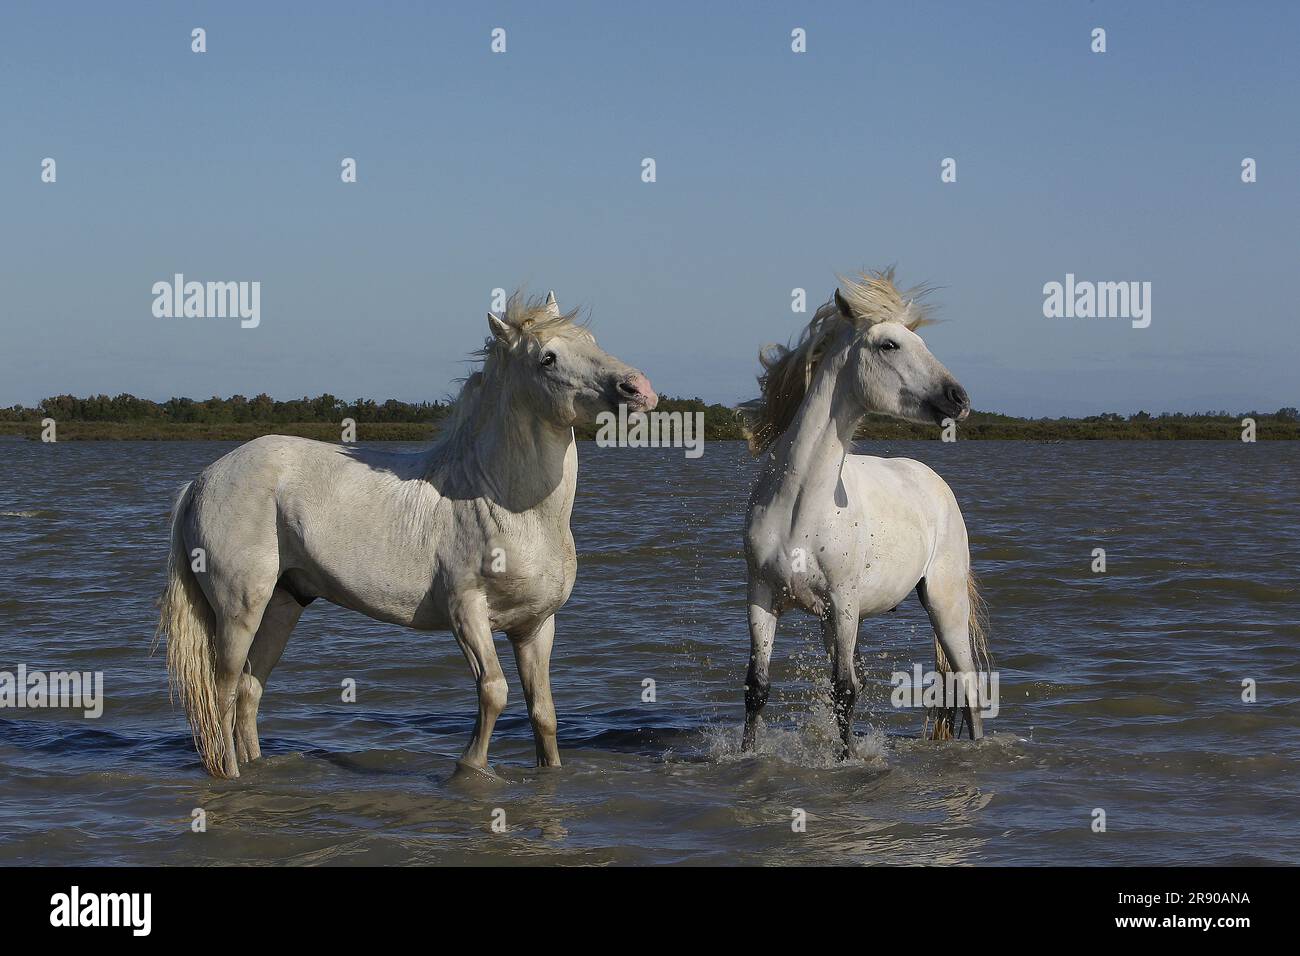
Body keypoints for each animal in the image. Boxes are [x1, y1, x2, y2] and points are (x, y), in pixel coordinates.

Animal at [156, 291, 657, 779]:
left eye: (591, 339)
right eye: (547, 358)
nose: (640, 390)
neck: (508, 506)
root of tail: (201, 480)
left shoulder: (535, 626)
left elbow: (544, 712)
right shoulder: (466, 612)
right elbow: (493, 691)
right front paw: (469, 768)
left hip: (284, 603)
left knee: (248, 691)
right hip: (240, 610)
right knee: (222, 692)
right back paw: (230, 774)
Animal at [738, 269, 990, 755]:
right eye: (889, 344)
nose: (959, 398)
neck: (799, 509)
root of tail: (934, 482)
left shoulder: (845, 601)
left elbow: (844, 690)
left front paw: (847, 758)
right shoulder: (762, 595)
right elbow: (757, 688)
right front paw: (745, 756)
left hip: (943, 601)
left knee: (967, 682)